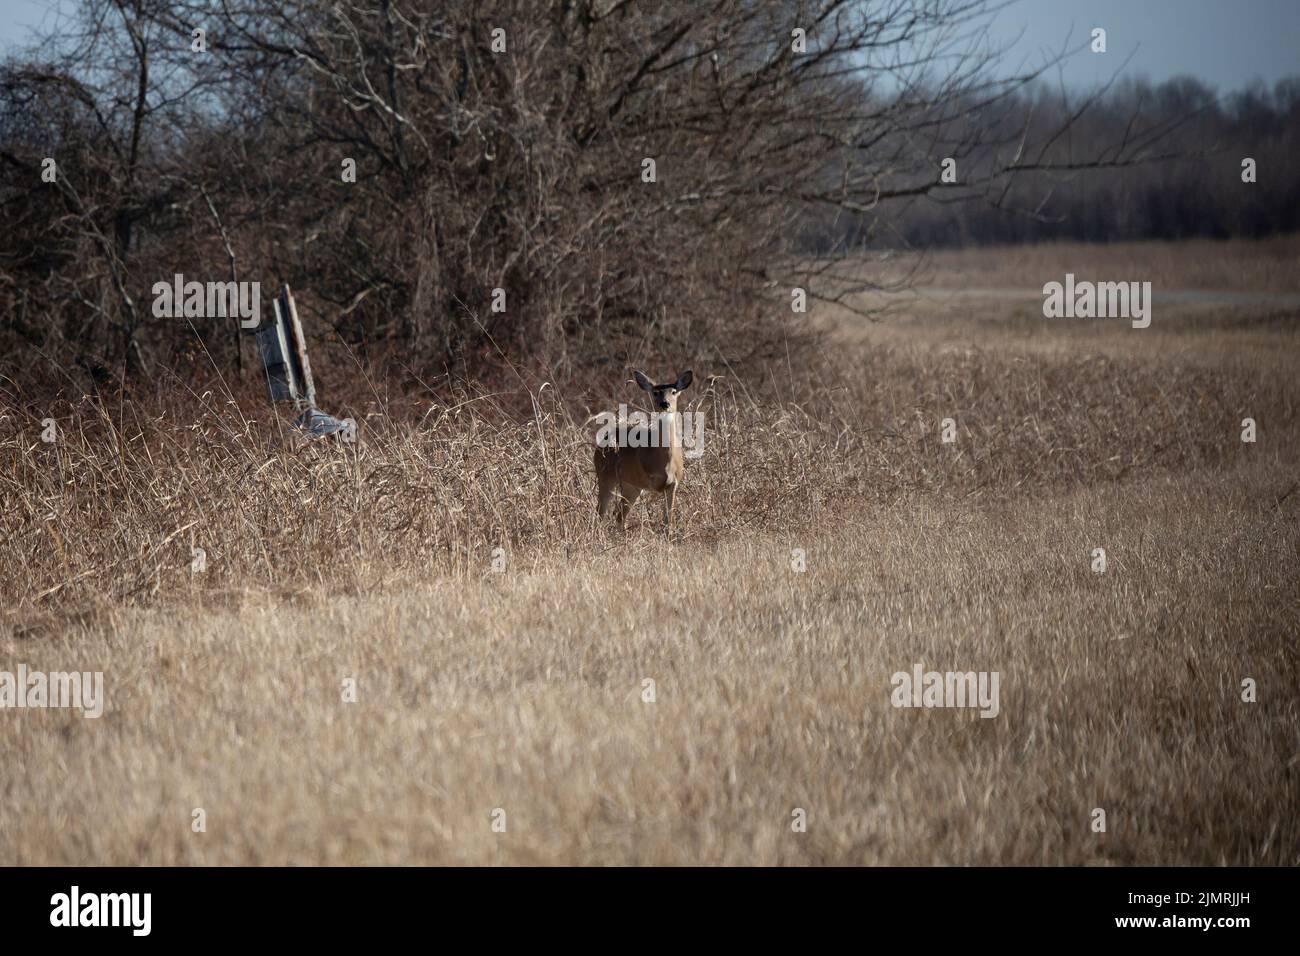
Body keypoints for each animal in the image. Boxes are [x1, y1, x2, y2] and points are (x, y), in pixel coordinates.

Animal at [594, 369, 693, 536]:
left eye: (674, 392)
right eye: (655, 392)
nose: (665, 403)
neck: (666, 460)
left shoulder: (674, 483)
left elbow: (668, 520)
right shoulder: (650, 482)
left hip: (630, 486)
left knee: (619, 515)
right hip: (605, 476)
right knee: (602, 512)